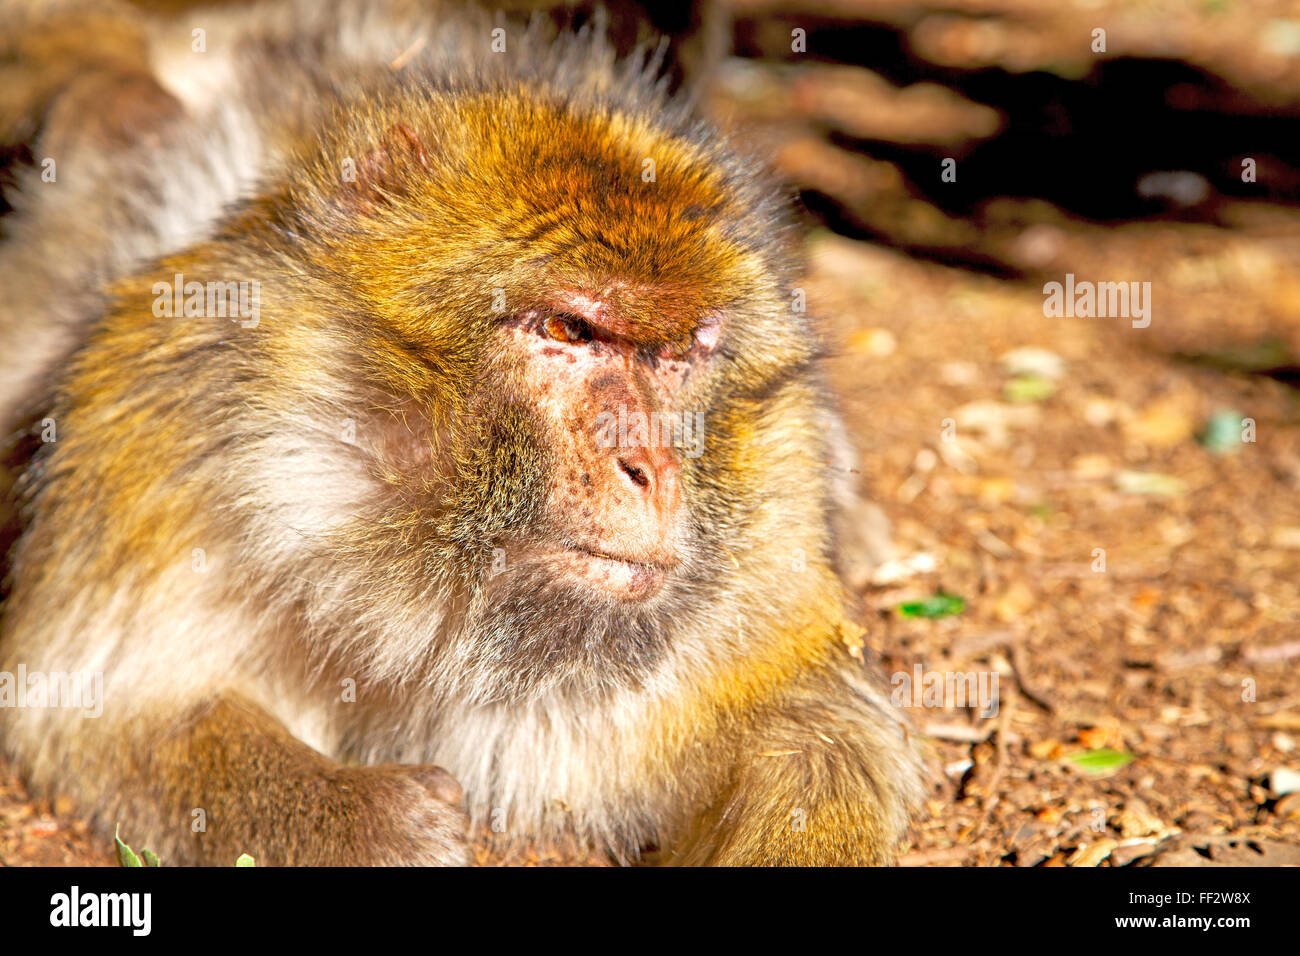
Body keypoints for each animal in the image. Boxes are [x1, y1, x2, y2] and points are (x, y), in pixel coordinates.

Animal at [0, 0, 924, 866]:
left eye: (681, 353)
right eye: (569, 331)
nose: (651, 469)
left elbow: (820, 734)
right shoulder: (166, 450)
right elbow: (89, 714)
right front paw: (363, 820)